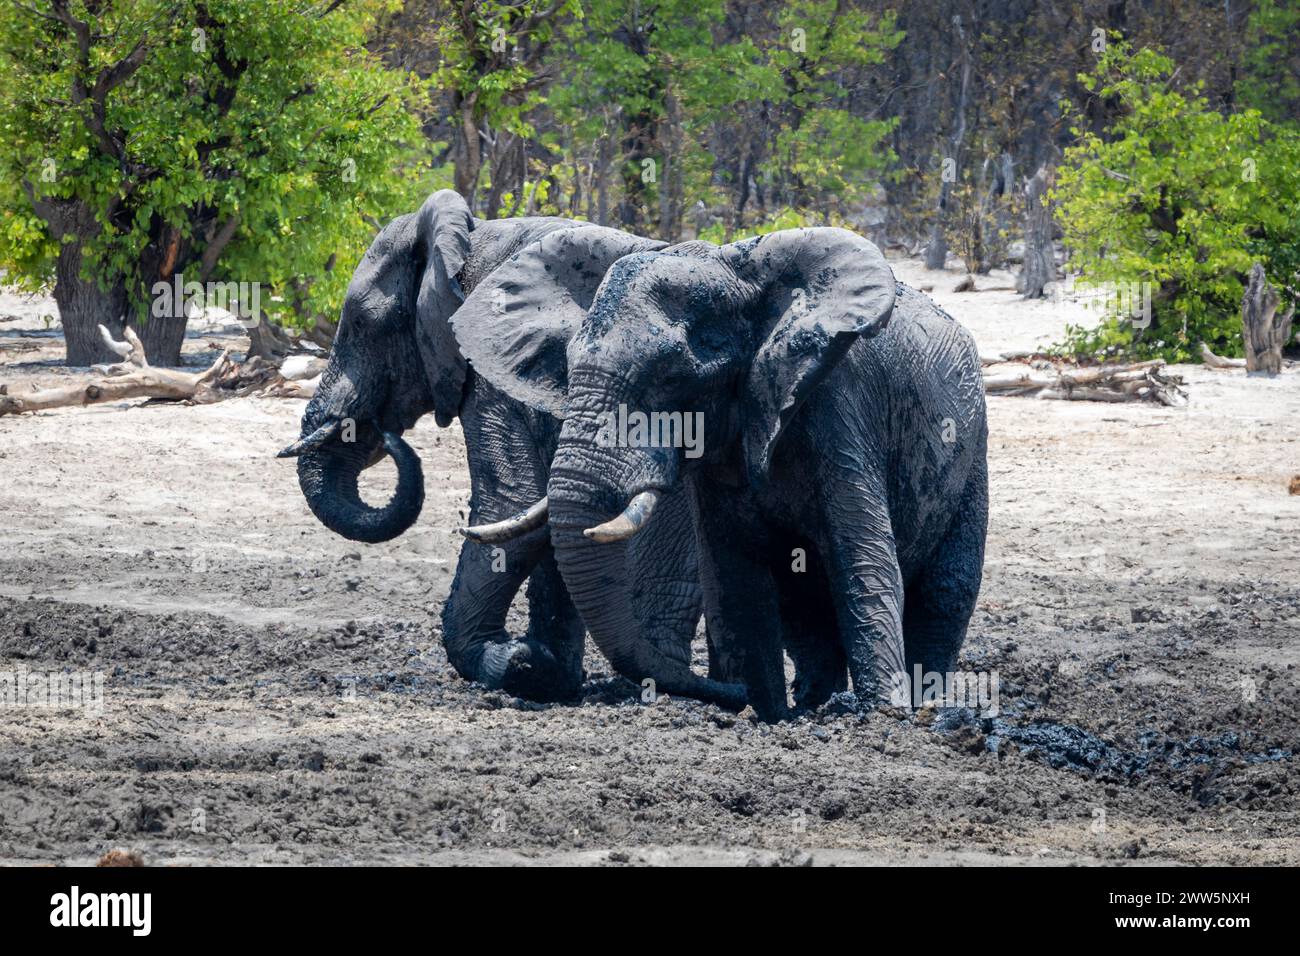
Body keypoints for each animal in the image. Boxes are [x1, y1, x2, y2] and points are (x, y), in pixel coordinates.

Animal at [279, 190, 741, 705]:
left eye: (361, 323)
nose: (380, 431)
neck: (465, 238)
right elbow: (547, 519)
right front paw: (546, 673)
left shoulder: (488, 369)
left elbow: (512, 505)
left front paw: (516, 665)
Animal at [461, 227, 988, 721]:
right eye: (567, 368)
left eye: (672, 377)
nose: (519, 657)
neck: (738, 273)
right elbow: (735, 582)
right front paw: (765, 713)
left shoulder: (840, 411)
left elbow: (862, 564)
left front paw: (882, 718)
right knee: (804, 614)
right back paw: (814, 703)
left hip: (973, 451)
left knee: (945, 593)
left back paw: (923, 708)